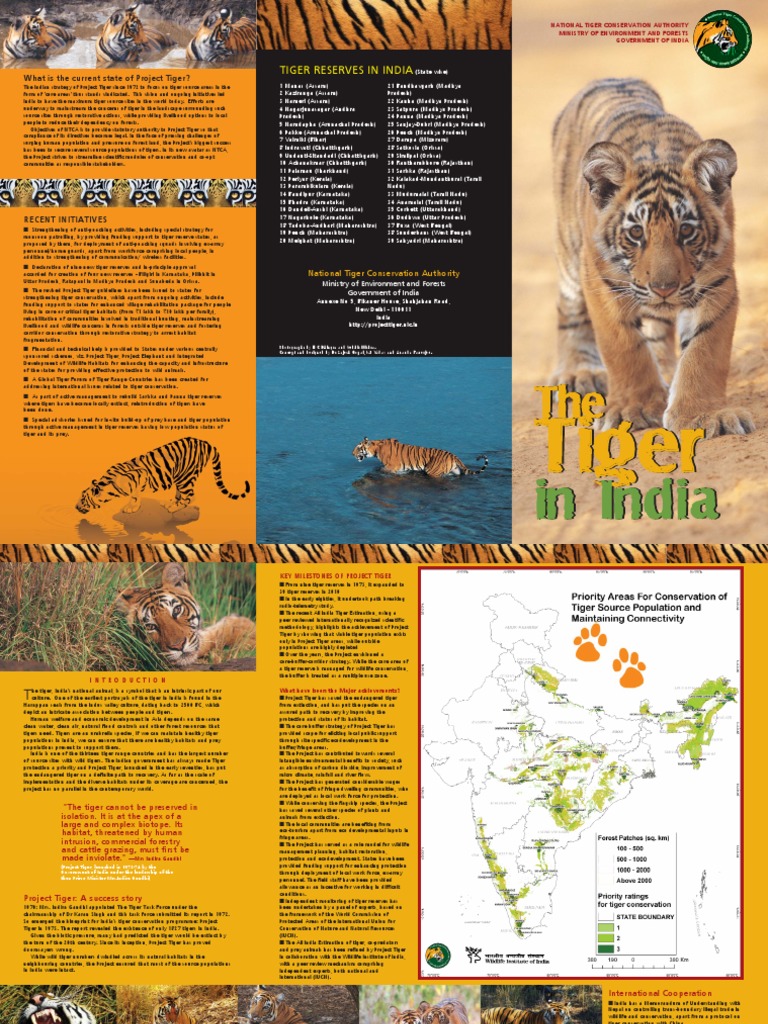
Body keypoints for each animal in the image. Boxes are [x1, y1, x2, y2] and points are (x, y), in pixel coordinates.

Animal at [75, 437, 251, 515]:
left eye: (83, 498)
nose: (76, 507)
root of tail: (205, 442)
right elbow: (134, 494)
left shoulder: (141, 475)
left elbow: (135, 495)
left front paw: (132, 507)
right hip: (181, 476)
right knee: (182, 494)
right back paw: (170, 502)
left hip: (185, 476)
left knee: (190, 496)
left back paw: (174, 507)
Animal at [352, 437, 488, 478]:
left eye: (359, 448)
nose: (352, 454)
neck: (376, 449)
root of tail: (453, 455)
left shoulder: (391, 467)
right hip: (455, 471)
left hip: (432, 471)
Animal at [552, 78, 753, 438]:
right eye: (636, 233)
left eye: (686, 231)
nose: (664, 289)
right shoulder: (603, 281)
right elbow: (625, 347)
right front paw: (636, 409)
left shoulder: (717, 281)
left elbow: (705, 351)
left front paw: (704, 415)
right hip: (570, 250)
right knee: (569, 309)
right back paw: (579, 373)